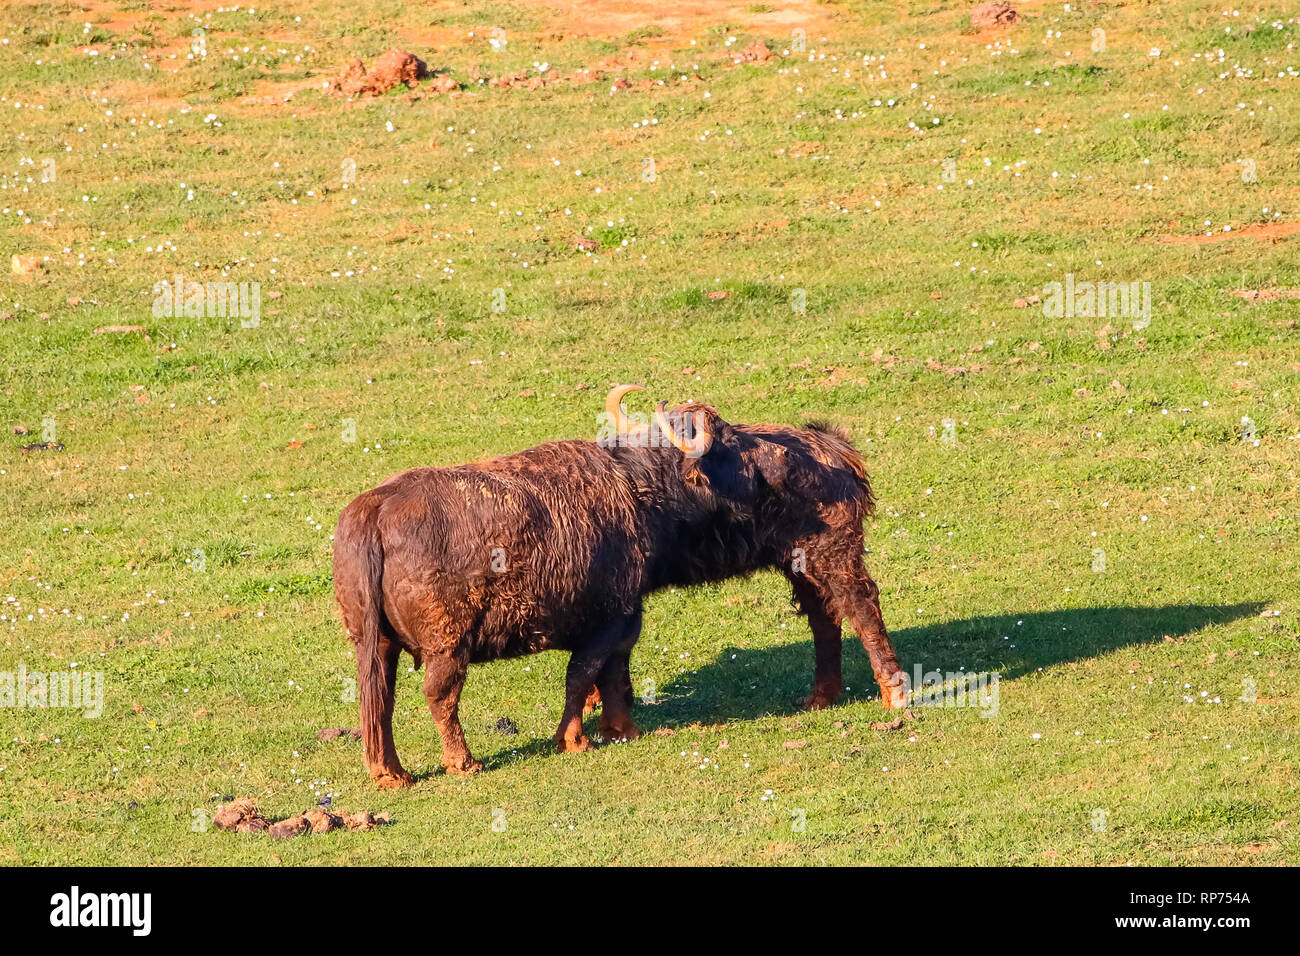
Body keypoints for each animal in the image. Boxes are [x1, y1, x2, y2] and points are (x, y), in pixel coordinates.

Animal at [333, 384, 904, 787]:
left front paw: (616, 729)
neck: (638, 490)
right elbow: (587, 673)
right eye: (725, 437)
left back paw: (393, 773)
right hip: (446, 647)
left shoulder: (619, 619)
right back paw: (462, 762)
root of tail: (375, 510)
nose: (783, 456)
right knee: (438, 695)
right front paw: (578, 738)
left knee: (376, 700)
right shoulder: (615, 616)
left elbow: (607, 674)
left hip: (373, 644)